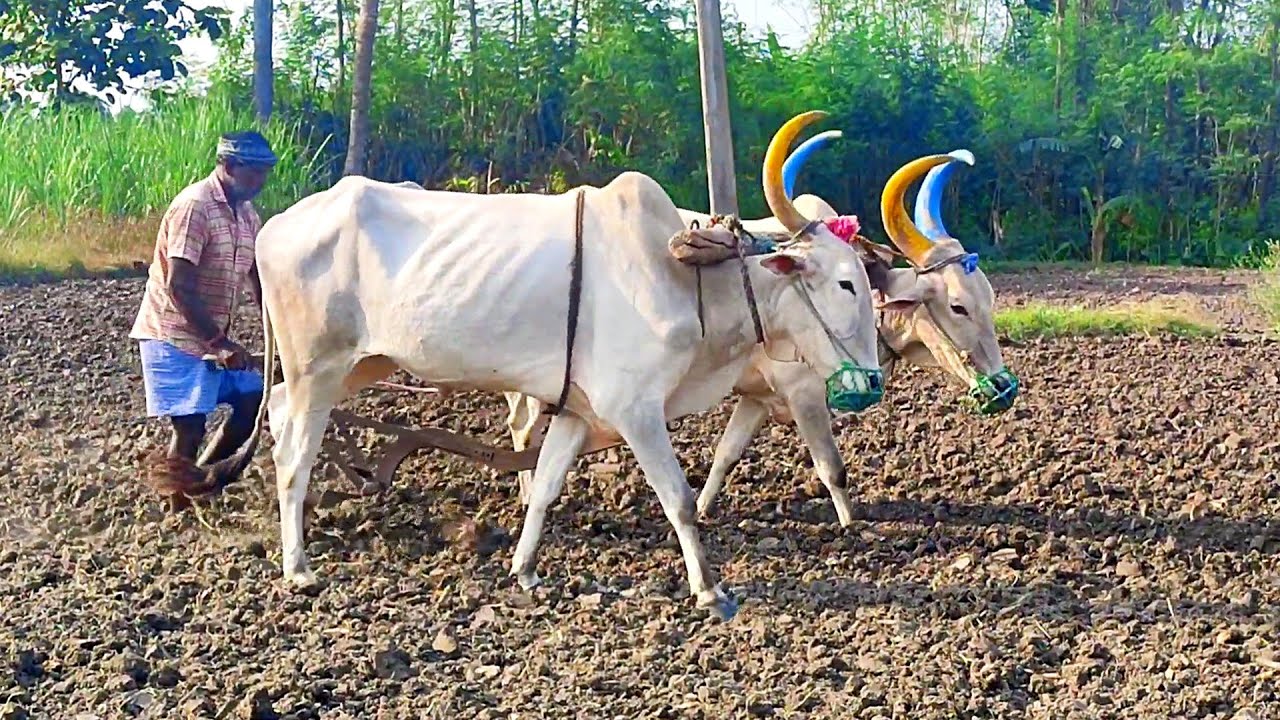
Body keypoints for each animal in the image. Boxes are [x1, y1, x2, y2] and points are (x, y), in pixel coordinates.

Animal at [210, 110, 900, 620]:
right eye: (846, 282)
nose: (870, 383)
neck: (684, 270)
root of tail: (275, 225)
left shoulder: (578, 411)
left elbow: (542, 489)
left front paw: (524, 571)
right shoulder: (635, 409)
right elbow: (678, 499)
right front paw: (710, 589)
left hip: (358, 363)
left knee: (277, 415)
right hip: (317, 366)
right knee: (293, 457)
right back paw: (298, 568)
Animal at [503, 139, 1021, 526]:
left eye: (990, 300)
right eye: (958, 306)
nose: (1004, 387)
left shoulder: (756, 398)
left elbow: (725, 456)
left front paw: (705, 507)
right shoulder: (804, 395)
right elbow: (832, 469)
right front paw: (850, 524)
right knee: (522, 428)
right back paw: (528, 496)